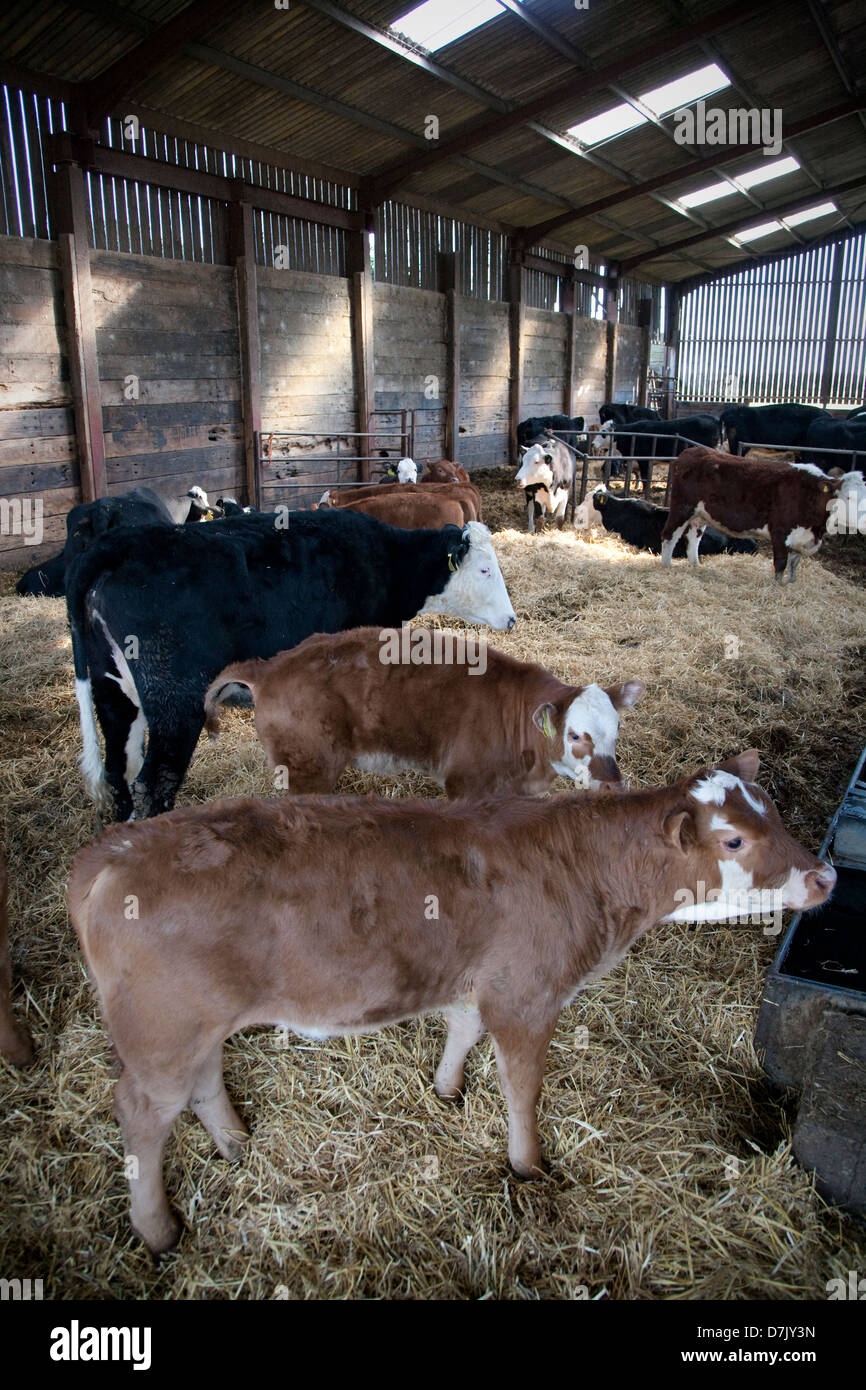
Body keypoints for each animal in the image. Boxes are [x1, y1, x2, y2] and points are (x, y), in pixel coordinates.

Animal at [66, 510, 516, 822]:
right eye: (484, 569)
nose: (511, 619)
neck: (387, 560)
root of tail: (123, 543)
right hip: (175, 701)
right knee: (153, 784)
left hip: (116, 695)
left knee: (122, 770)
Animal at [69, 750, 837, 1253]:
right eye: (733, 838)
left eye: (774, 814)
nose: (825, 875)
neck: (584, 869)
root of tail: (113, 849)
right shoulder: (527, 995)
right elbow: (523, 1088)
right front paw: (528, 1165)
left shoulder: (480, 982)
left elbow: (463, 1031)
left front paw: (445, 1090)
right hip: (162, 1033)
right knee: (141, 1113)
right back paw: (158, 1230)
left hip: (194, 1027)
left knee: (201, 1084)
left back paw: (236, 1144)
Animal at [205, 628, 644, 797]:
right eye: (574, 734)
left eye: (617, 730)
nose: (613, 786)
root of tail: (269, 666)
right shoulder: (466, 784)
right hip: (306, 769)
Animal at [660, 447, 866, 580]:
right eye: (849, 497)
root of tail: (691, 451)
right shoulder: (781, 533)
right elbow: (781, 565)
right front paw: (777, 588)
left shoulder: (801, 539)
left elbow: (793, 566)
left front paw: (789, 586)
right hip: (682, 507)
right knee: (670, 536)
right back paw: (667, 566)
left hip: (701, 515)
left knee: (693, 538)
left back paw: (696, 566)